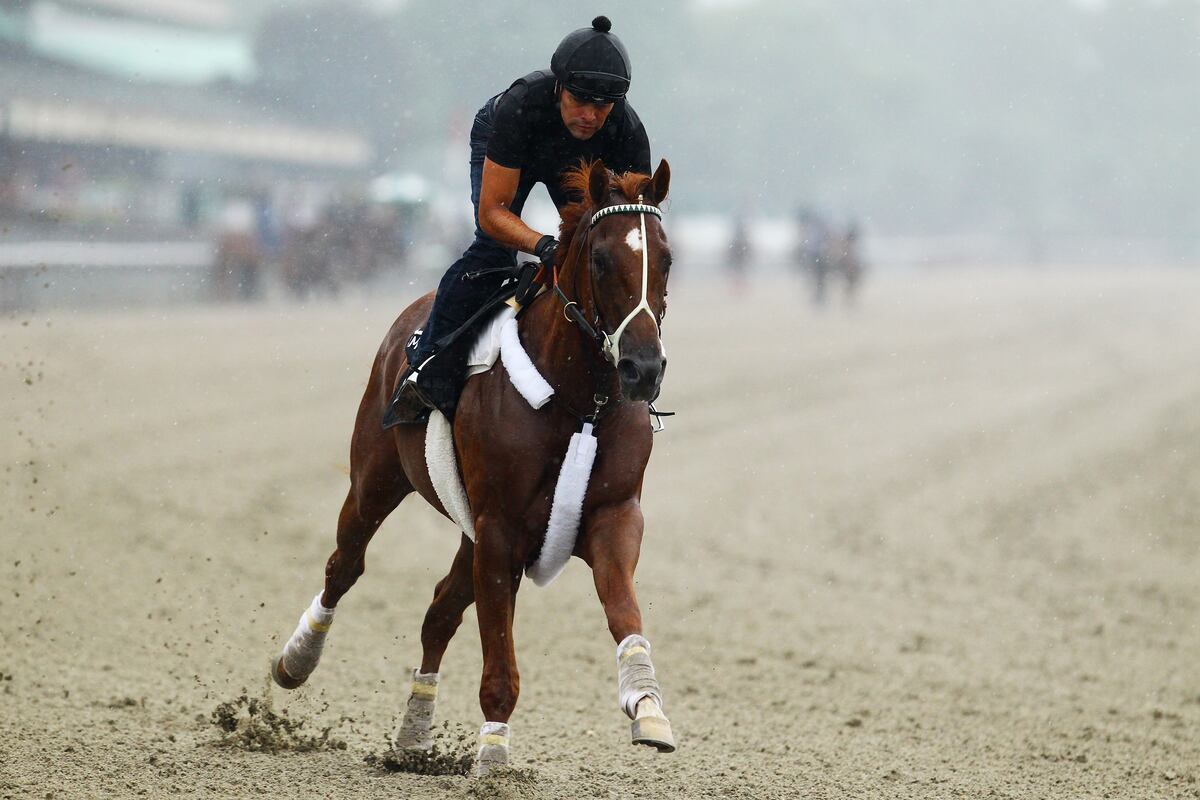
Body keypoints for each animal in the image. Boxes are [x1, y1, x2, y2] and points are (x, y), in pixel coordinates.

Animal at [269, 159, 676, 775]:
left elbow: (623, 610)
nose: (643, 368)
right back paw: (297, 659)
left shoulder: (611, 515)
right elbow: (498, 655)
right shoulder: (500, 529)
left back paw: (413, 734)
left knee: (439, 608)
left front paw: (648, 707)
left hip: (469, 527)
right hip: (376, 480)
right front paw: (492, 755)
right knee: (345, 565)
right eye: (603, 259)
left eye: (667, 259)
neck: (576, 401)